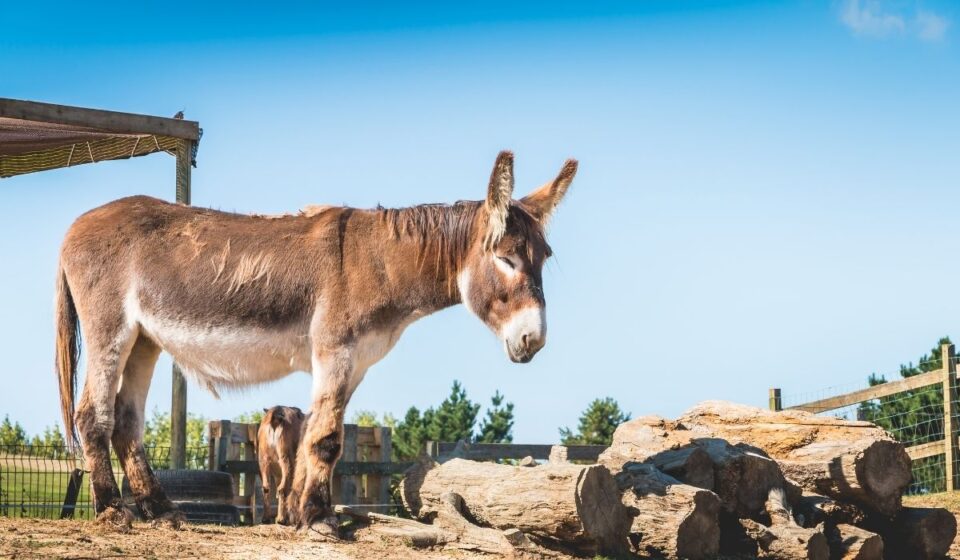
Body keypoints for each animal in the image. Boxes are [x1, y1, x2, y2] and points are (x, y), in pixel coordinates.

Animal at [54, 150, 577, 533]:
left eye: (545, 257)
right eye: (506, 259)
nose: (534, 340)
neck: (380, 263)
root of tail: (74, 226)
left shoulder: (354, 362)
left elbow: (317, 437)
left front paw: (308, 513)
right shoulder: (335, 351)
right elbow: (326, 440)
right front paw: (321, 519)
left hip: (144, 339)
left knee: (126, 423)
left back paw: (161, 510)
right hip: (110, 330)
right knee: (93, 415)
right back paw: (113, 510)